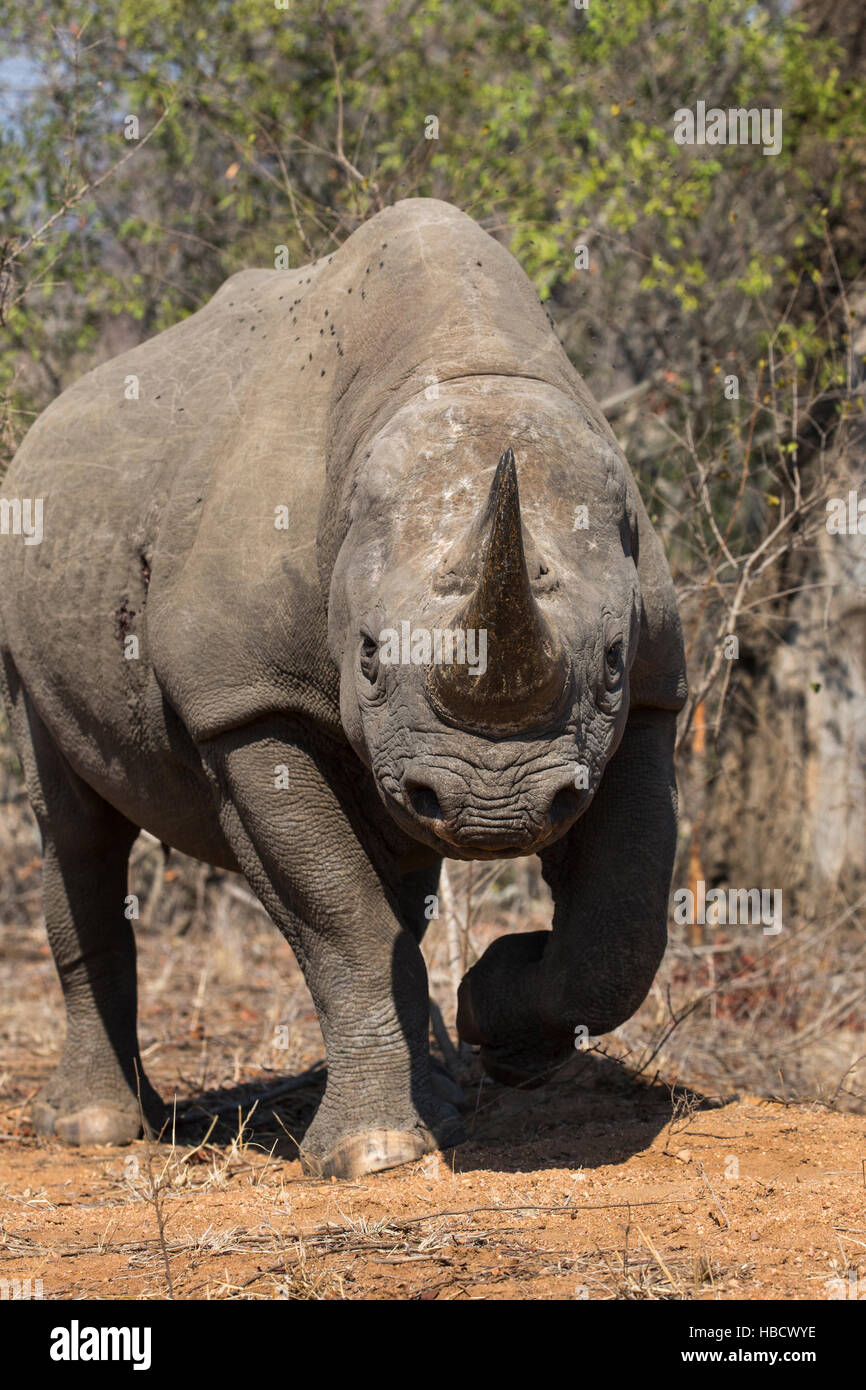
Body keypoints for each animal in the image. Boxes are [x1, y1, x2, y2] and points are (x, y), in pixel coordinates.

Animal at [0, 198, 686, 1178]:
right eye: (364, 655)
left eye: (614, 663)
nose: (496, 811)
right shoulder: (248, 701)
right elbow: (339, 915)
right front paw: (374, 1154)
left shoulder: (654, 692)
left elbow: (620, 930)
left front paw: (497, 1018)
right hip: (30, 596)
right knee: (74, 821)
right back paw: (94, 1129)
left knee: (402, 866)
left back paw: (443, 1092)